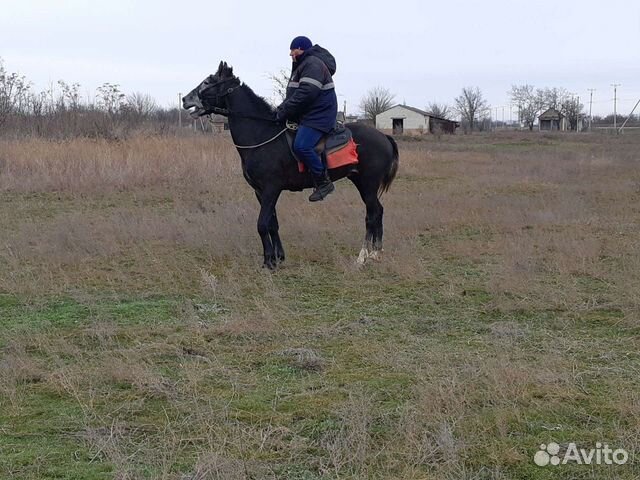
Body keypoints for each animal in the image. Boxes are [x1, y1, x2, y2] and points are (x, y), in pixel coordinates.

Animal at [182, 61, 399, 269]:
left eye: (209, 81)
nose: (185, 99)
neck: (262, 135)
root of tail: (384, 137)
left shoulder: (271, 189)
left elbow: (262, 224)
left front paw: (269, 262)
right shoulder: (260, 191)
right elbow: (272, 224)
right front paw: (278, 257)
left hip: (367, 184)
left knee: (372, 215)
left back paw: (364, 257)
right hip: (361, 183)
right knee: (377, 212)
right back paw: (375, 254)